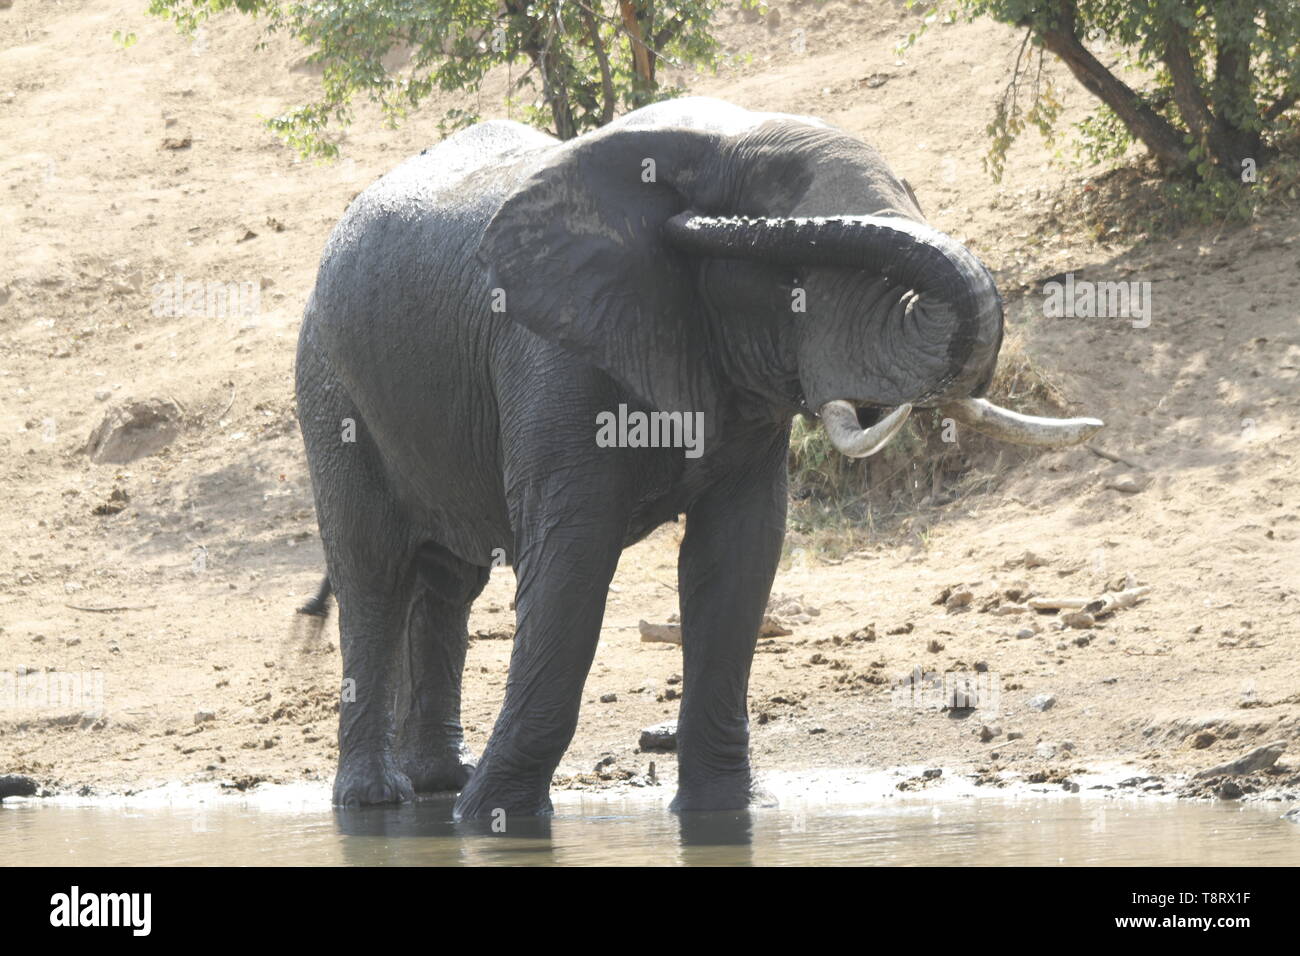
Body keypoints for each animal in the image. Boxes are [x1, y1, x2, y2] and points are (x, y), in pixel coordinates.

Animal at [294, 96, 1102, 816]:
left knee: (447, 584)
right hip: (330, 387)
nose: (702, 221)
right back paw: (378, 802)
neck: (721, 131)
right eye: (795, 279)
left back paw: (440, 784)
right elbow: (571, 561)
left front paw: (722, 814)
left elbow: (737, 558)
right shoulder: (549, 354)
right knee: (373, 571)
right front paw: (494, 820)